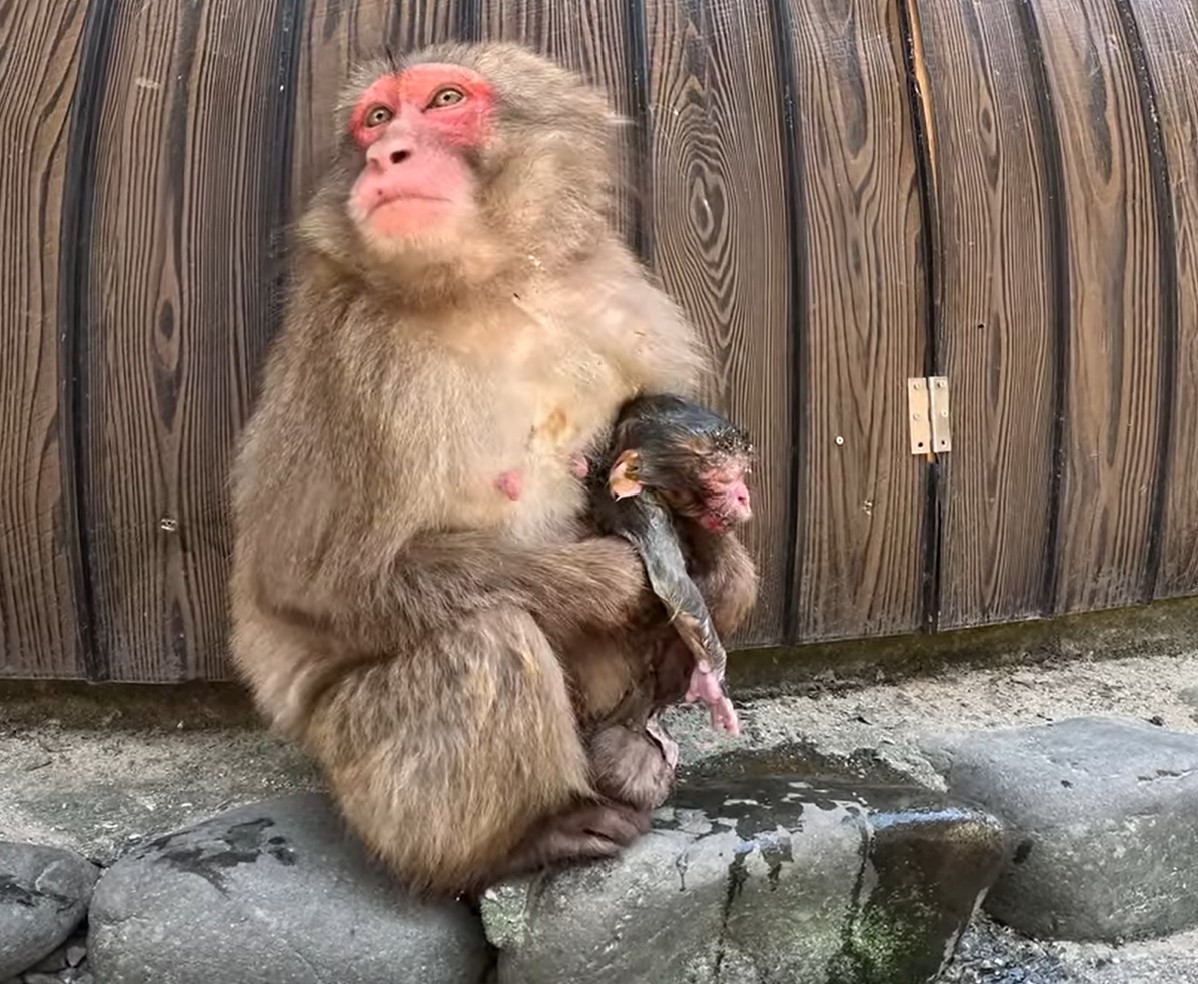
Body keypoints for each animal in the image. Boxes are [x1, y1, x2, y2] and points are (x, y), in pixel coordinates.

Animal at [586, 393, 755, 737]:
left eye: (740, 475)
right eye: (724, 480)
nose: (744, 496)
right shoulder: (642, 509)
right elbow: (673, 582)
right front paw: (712, 679)